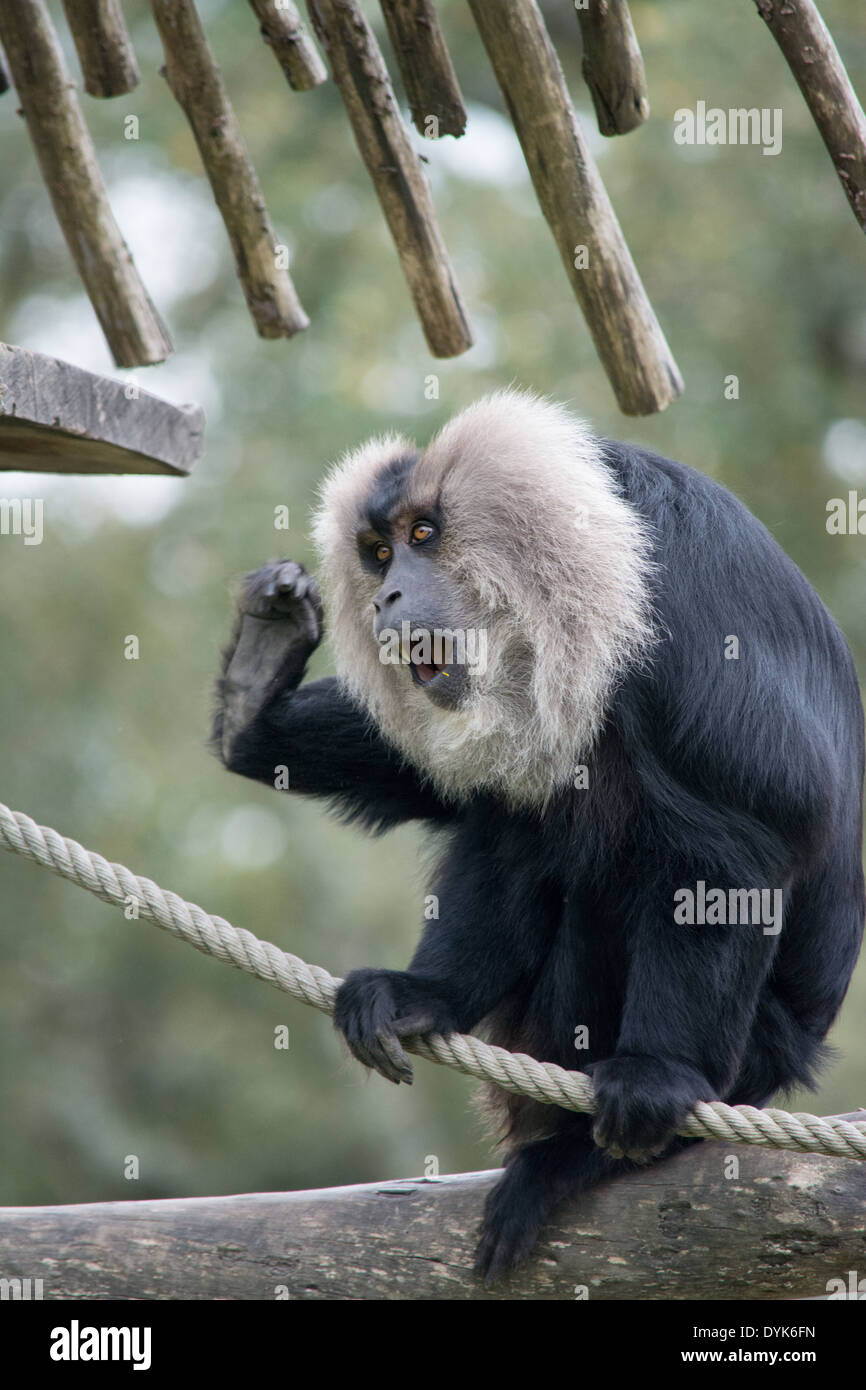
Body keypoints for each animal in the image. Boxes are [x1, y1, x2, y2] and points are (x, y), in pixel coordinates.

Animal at [211, 389, 865, 1283]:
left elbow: (739, 843)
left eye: (424, 536)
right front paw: (253, 703)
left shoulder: (680, 613)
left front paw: (657, 1078)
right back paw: (430, 997)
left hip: (752, 1057)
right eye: (378, 553)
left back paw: (569, 1158)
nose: (386, 599)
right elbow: (454, 792)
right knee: (516, 824)